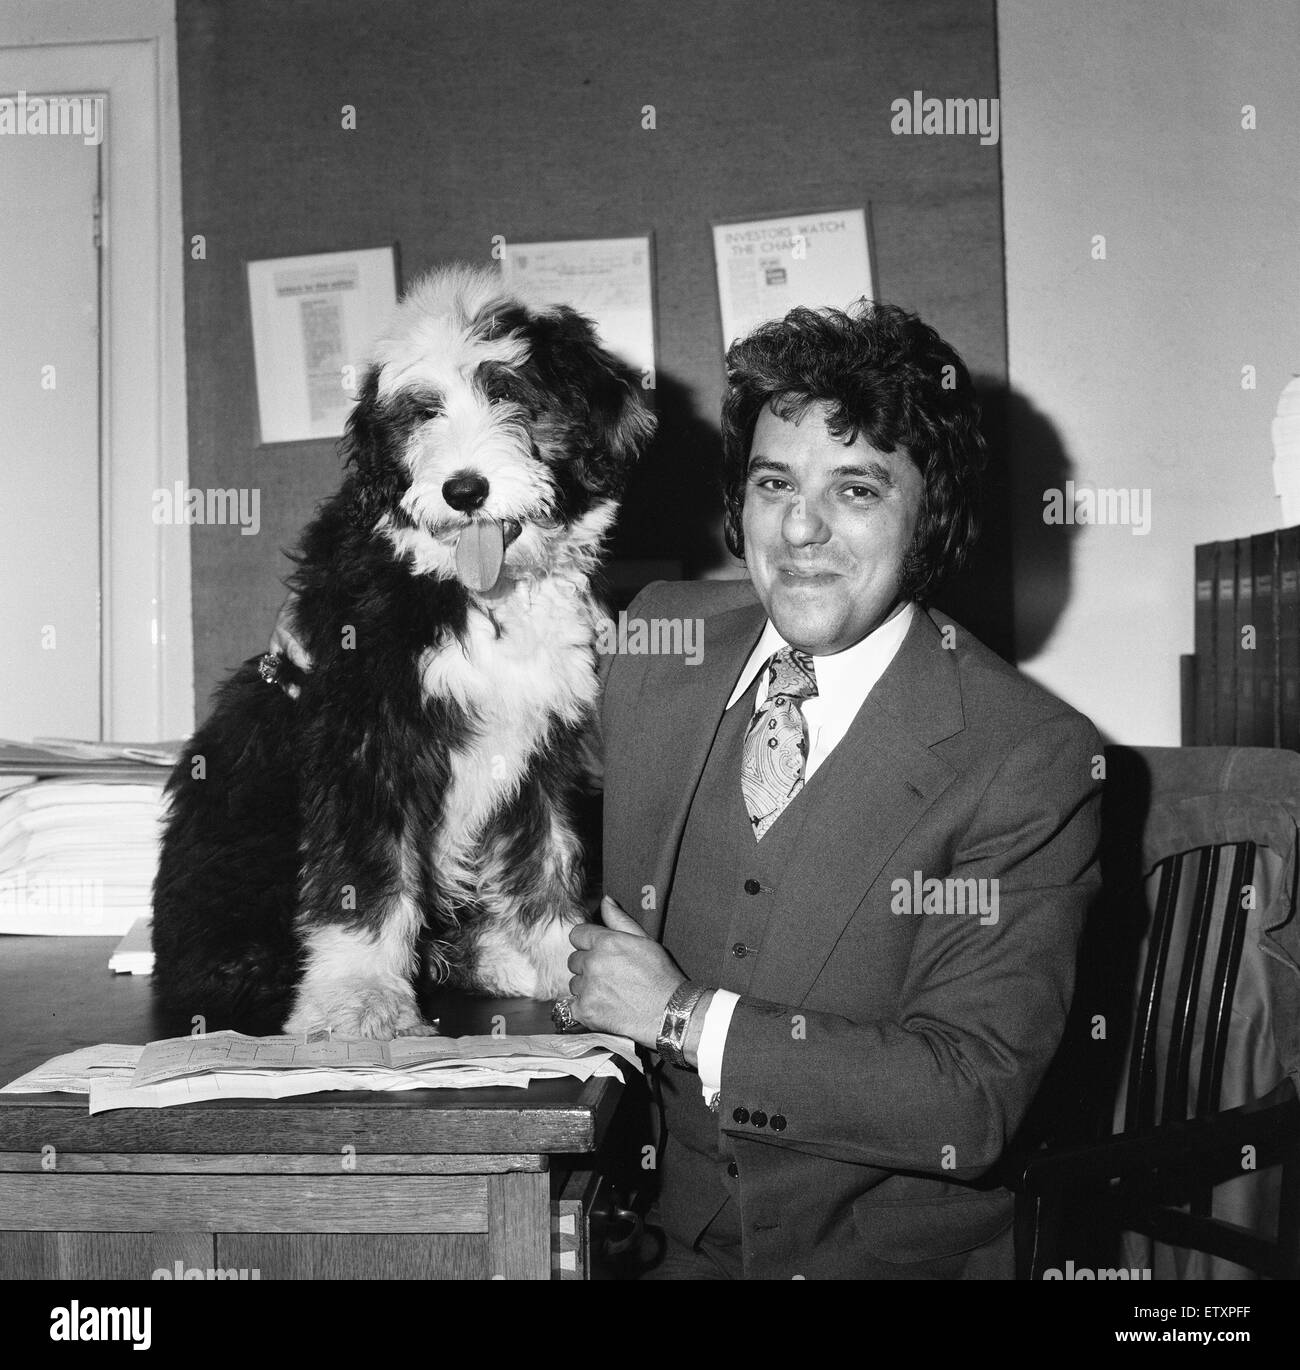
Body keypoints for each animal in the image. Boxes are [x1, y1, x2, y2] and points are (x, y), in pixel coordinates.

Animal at [152, 264, 654, 1035]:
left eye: (508, 393)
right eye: (423, 413)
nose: (464, 490)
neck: (477, 592)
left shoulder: (539, 751)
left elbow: (547, 860)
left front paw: (567, 963)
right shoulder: (368, 738)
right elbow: (366, 875)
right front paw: (359, 1000)